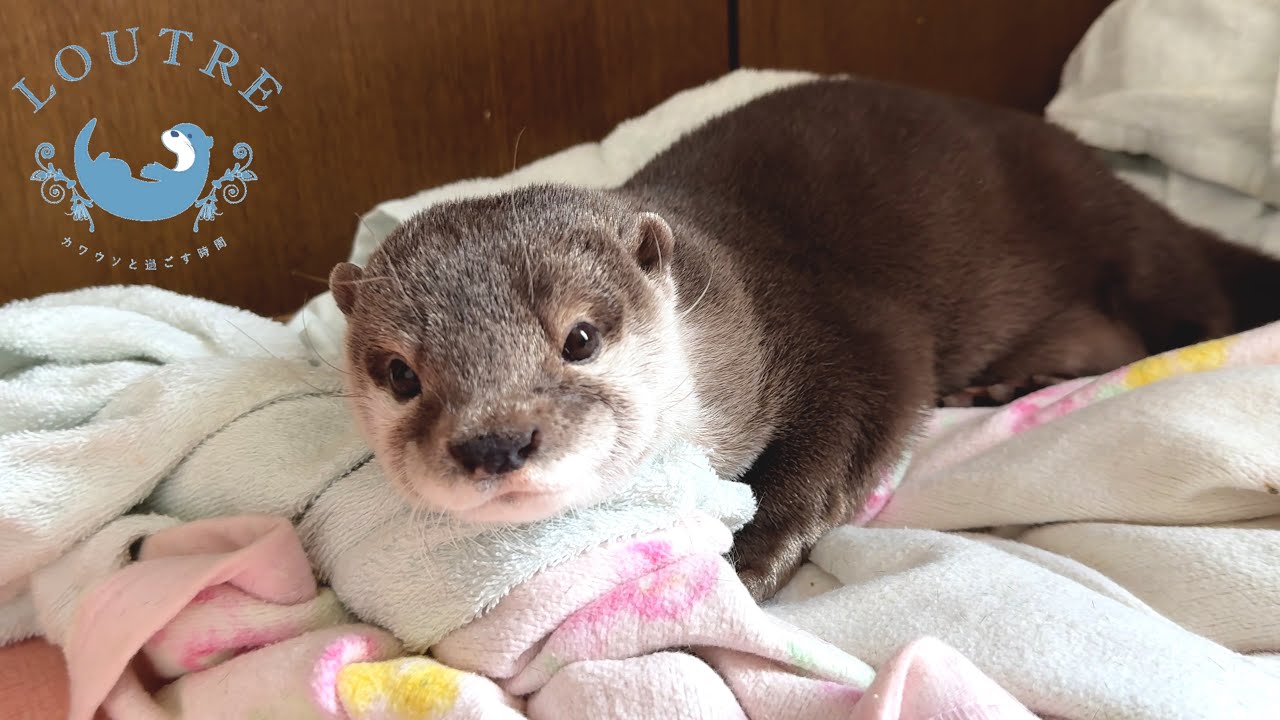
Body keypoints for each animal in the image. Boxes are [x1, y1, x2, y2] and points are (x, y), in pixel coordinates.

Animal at [329, 76, 1280, 601]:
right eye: (401, 374)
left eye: (581, 337)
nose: (494, 443)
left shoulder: (843, 330)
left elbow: (844, 437)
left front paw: (750, 560)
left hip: (1129, 247)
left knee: (1188, 315)